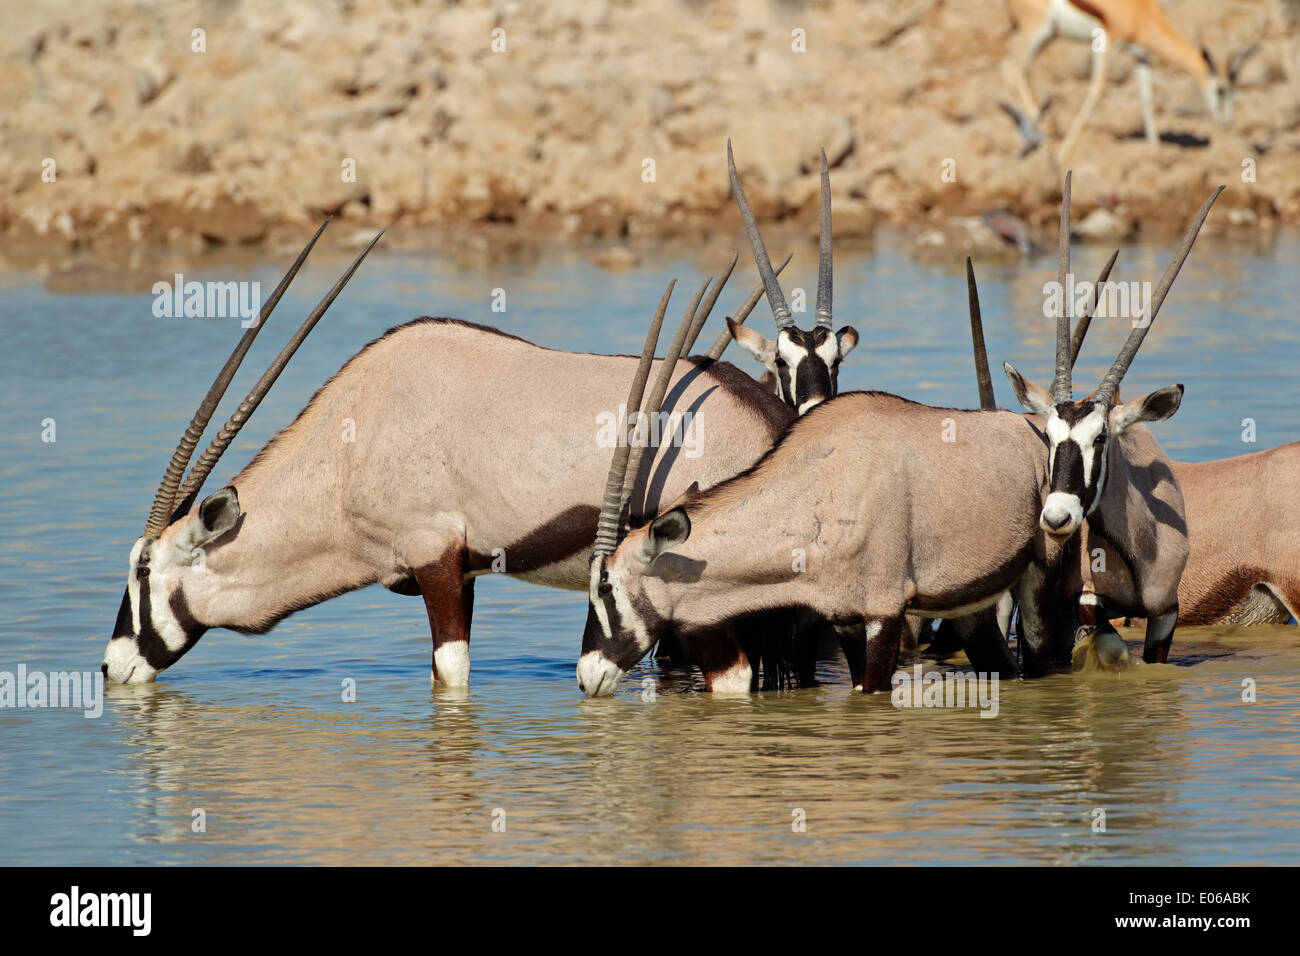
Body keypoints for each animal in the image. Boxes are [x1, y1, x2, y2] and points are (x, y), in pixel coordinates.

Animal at [101, 220, 815, 688]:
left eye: (142, 570)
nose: (110, 665)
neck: (351, 448)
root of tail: (772, 416)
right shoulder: (465, 572)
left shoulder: (435, 562)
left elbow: (450, 673)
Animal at [574, 175, 1220, 697]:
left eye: (606, 589)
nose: (587, 676)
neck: (815, 485)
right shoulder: (843, 618)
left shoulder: (884, 613)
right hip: (974, 610)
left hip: (1036, 593)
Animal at [1004, 0, 1259, 161]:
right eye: (1221, 90)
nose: (1227, 121)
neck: (1143, 12)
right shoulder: (1107, 43)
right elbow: (1096, 90)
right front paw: (1064, 154)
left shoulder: (1141, 55)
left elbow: (1147, 96)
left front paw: (1155, 151)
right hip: (1039, 30)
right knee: (1012, 69)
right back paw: (1044, 138)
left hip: (1049, 36)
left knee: (1014, 69)